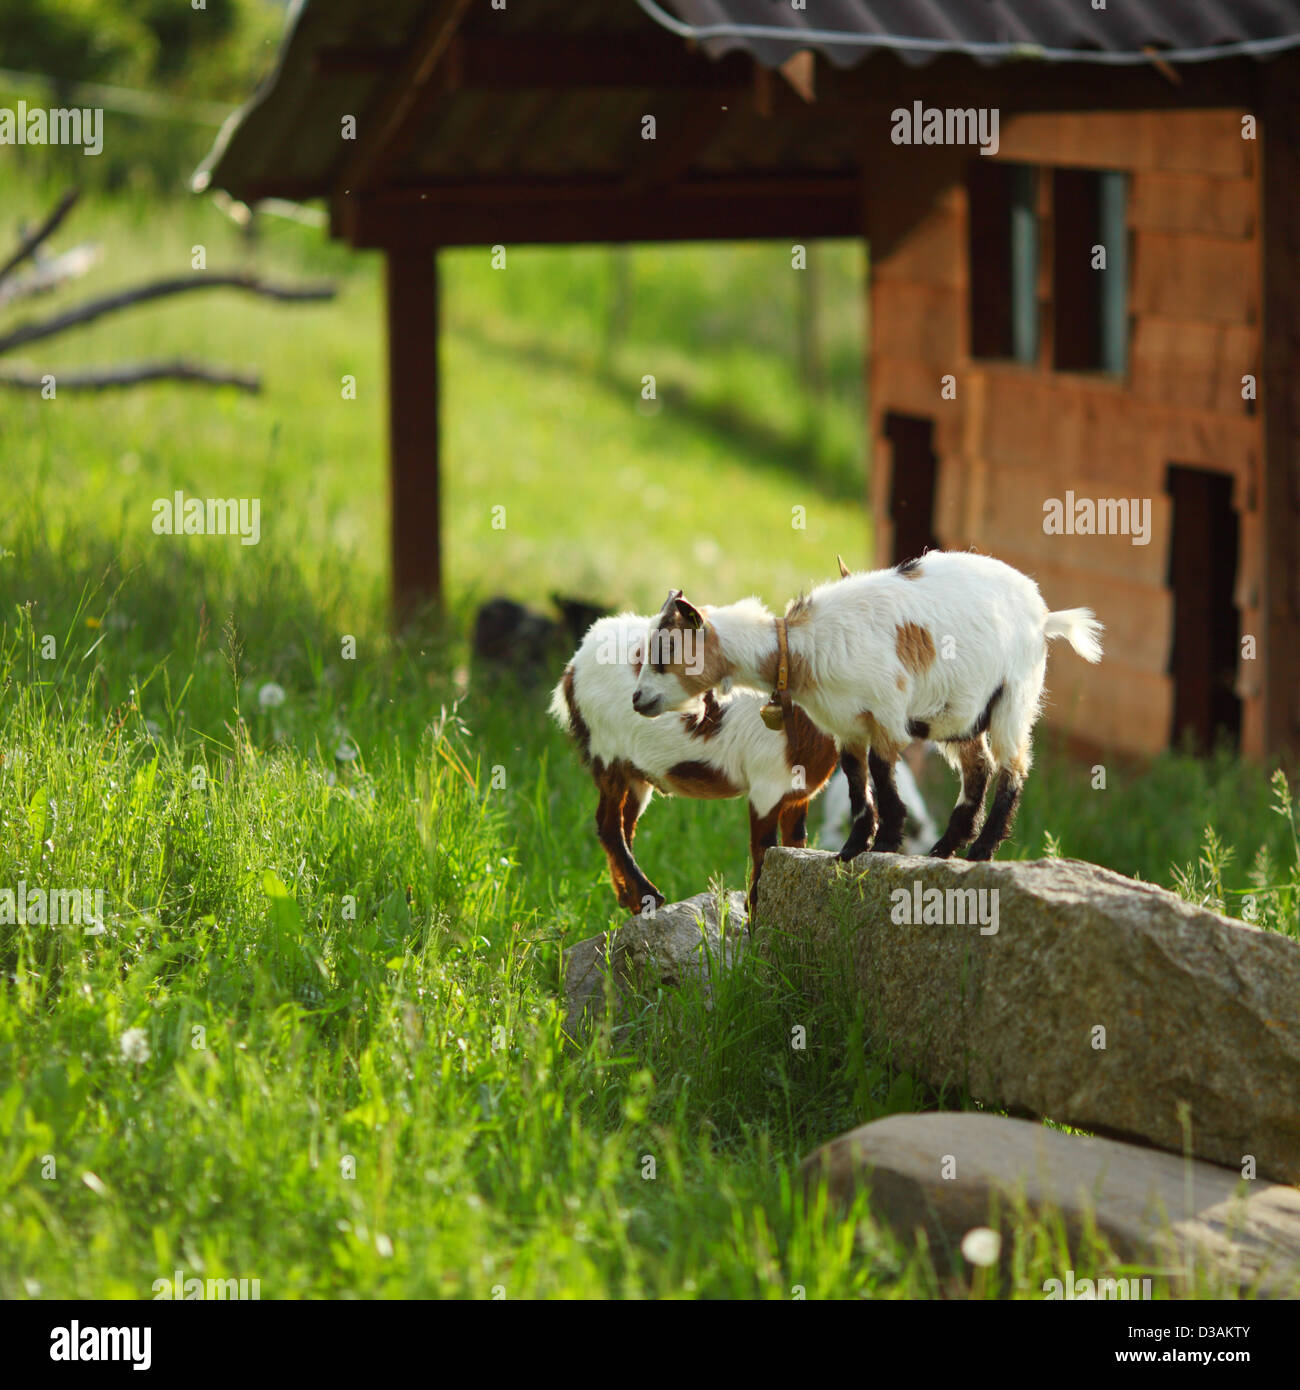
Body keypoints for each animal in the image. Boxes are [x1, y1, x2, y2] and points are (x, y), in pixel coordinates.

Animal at [550, 613, 837, 915]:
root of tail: (573, 666)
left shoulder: (798, 792)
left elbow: (794, 842)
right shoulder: (766, 784)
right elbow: (764, 845)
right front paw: (755, 908)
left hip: (634, 773)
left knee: (624, 824)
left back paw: (631, 899)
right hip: (606, 752)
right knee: (607, 824)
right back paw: (646, 894)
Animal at [630, 551, 1103, 863]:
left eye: (664, 653)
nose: (637, 699)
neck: (801, 647)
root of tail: (1045, 616)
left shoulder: (887, 712)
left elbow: (880, 770)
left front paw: (887, 841)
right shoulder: (847, 724)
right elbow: (857, 777)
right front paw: (852, 848)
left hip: (1013, 696)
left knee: (1012, 768)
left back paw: (979, 852)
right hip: (960, 713)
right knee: (977, 769)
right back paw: (943, 850)